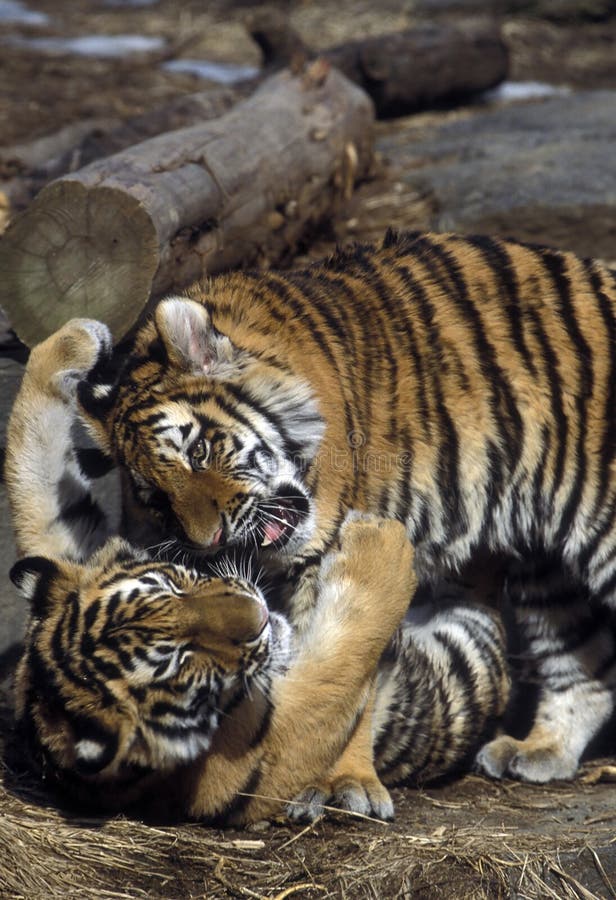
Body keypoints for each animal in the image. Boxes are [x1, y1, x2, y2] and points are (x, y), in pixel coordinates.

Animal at [6, 318, 510, 824]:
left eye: (173, 584)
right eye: (181, 659)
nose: (259, 615)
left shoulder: (72, 552)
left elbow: (36, 485)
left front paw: (76, 343)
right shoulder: (277, 747)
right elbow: (346, 656)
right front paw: (380, 537)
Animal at [77, 228, 616, 788]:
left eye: (199, 451)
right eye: (157, 498)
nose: (211, 541)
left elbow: (355, 668)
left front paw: (346, 781)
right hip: (546, 562)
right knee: (583, 663)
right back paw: (542, 749)